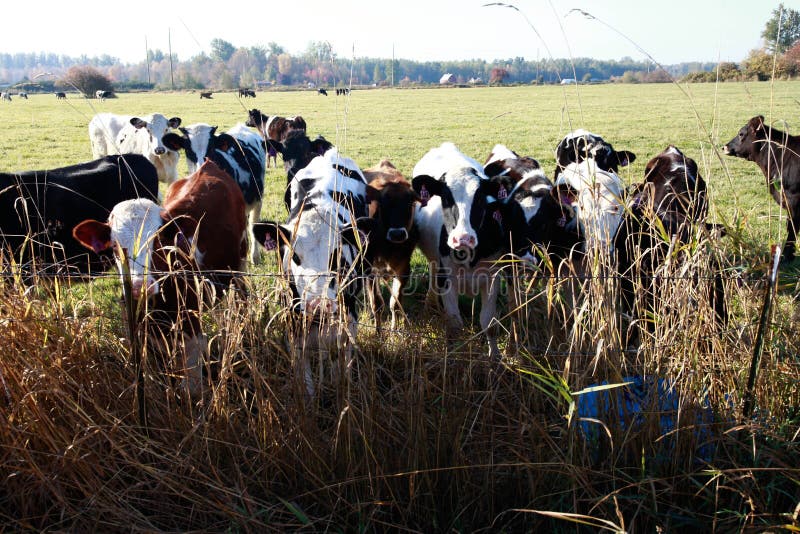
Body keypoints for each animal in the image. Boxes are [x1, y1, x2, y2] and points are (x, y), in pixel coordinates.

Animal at [73, 159, 248, 399]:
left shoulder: (191, 328)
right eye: (115, 246)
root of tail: (207, 165)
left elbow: (191, 387)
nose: (140, 286)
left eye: (159, 240)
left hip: (241, 262)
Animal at [251, 147, 373, 396]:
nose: (318, 305)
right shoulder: (293, 325)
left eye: (336, 256)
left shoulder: (348, 322)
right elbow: (306, 384)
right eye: (295, 256)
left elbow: (342, 371)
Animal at [362, 159, 420, 330]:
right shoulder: (370, 269)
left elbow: (395, 303)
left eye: (410, 204)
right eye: (383, 204)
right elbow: (377, 303)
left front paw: (396, 329)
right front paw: (378, 332)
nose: (397, 234)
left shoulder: (404, 268)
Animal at [412, 142, 529, 360]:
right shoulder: (447, 278)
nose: (463, 238)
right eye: (445, 197)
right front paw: (454, 357)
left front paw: (495, 357)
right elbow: (454, 324)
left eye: (481, 197)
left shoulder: (492, 277)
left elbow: (488, 322)